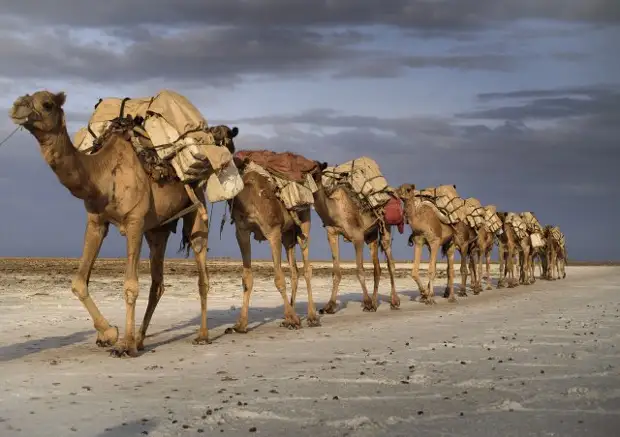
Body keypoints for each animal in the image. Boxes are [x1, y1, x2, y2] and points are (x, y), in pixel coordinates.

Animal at [10, 90, 241, 356]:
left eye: (47, 104)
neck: (101, 173)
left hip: (195, 206)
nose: (16, 107)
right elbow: (79, 282)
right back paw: (141, 339)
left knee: (201, 266)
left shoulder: (134, 222)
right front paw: (109, 334)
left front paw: (124, 345)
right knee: (158, 283)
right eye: (25, 97)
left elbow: (130, 285)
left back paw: (201, 336)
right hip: (158, 229)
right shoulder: (96, 222)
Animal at [228, 157, 324, 330]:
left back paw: (312, 317)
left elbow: (278, 278)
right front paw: (240, 325)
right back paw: (289, 318)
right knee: (294, 271)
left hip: (304, 221)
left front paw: (294, 320)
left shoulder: (273, 231)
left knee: (307, 267)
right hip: (288, 235)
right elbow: (246, 279)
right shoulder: (241, 232)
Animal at [310, 169, 402, 310]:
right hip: (371, 235)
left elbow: (360, 270)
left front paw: (367, 302)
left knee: (390, 261)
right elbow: (336, 272)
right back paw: (375, 303)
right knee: (377, 268)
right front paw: (329, 306)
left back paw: (394, 301)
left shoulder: (358, 237)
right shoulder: (332, 234)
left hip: (385, 225)